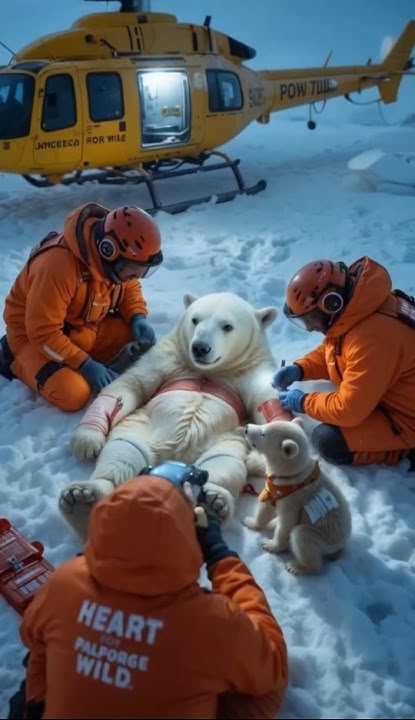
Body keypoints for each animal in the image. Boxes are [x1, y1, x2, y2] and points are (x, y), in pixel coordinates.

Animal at [59, 291, 292, 541]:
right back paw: (83, 500)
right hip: (144, 426)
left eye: (227, 326)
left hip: (225, 439)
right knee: (126, 448)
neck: (214, 370)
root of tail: (176, 456)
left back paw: (214, 501)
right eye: (195, 319)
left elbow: (266, 403)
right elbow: (131, 384)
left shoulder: (251, 371)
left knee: (224, 460)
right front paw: (87, 440)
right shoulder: (168, 358)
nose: (200, 348)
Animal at [243, 418, 352, 575]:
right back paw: (274, 523)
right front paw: (251, 522)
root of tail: (342, 544)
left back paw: (297, 566)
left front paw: (270, 545)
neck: (293, 477)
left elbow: (287, 522)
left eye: (263, 433)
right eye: (266, 424)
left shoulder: (293, 499)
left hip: (325, 539)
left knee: (302, 536)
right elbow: (266, 507)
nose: (246, 427)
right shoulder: (275, 487)